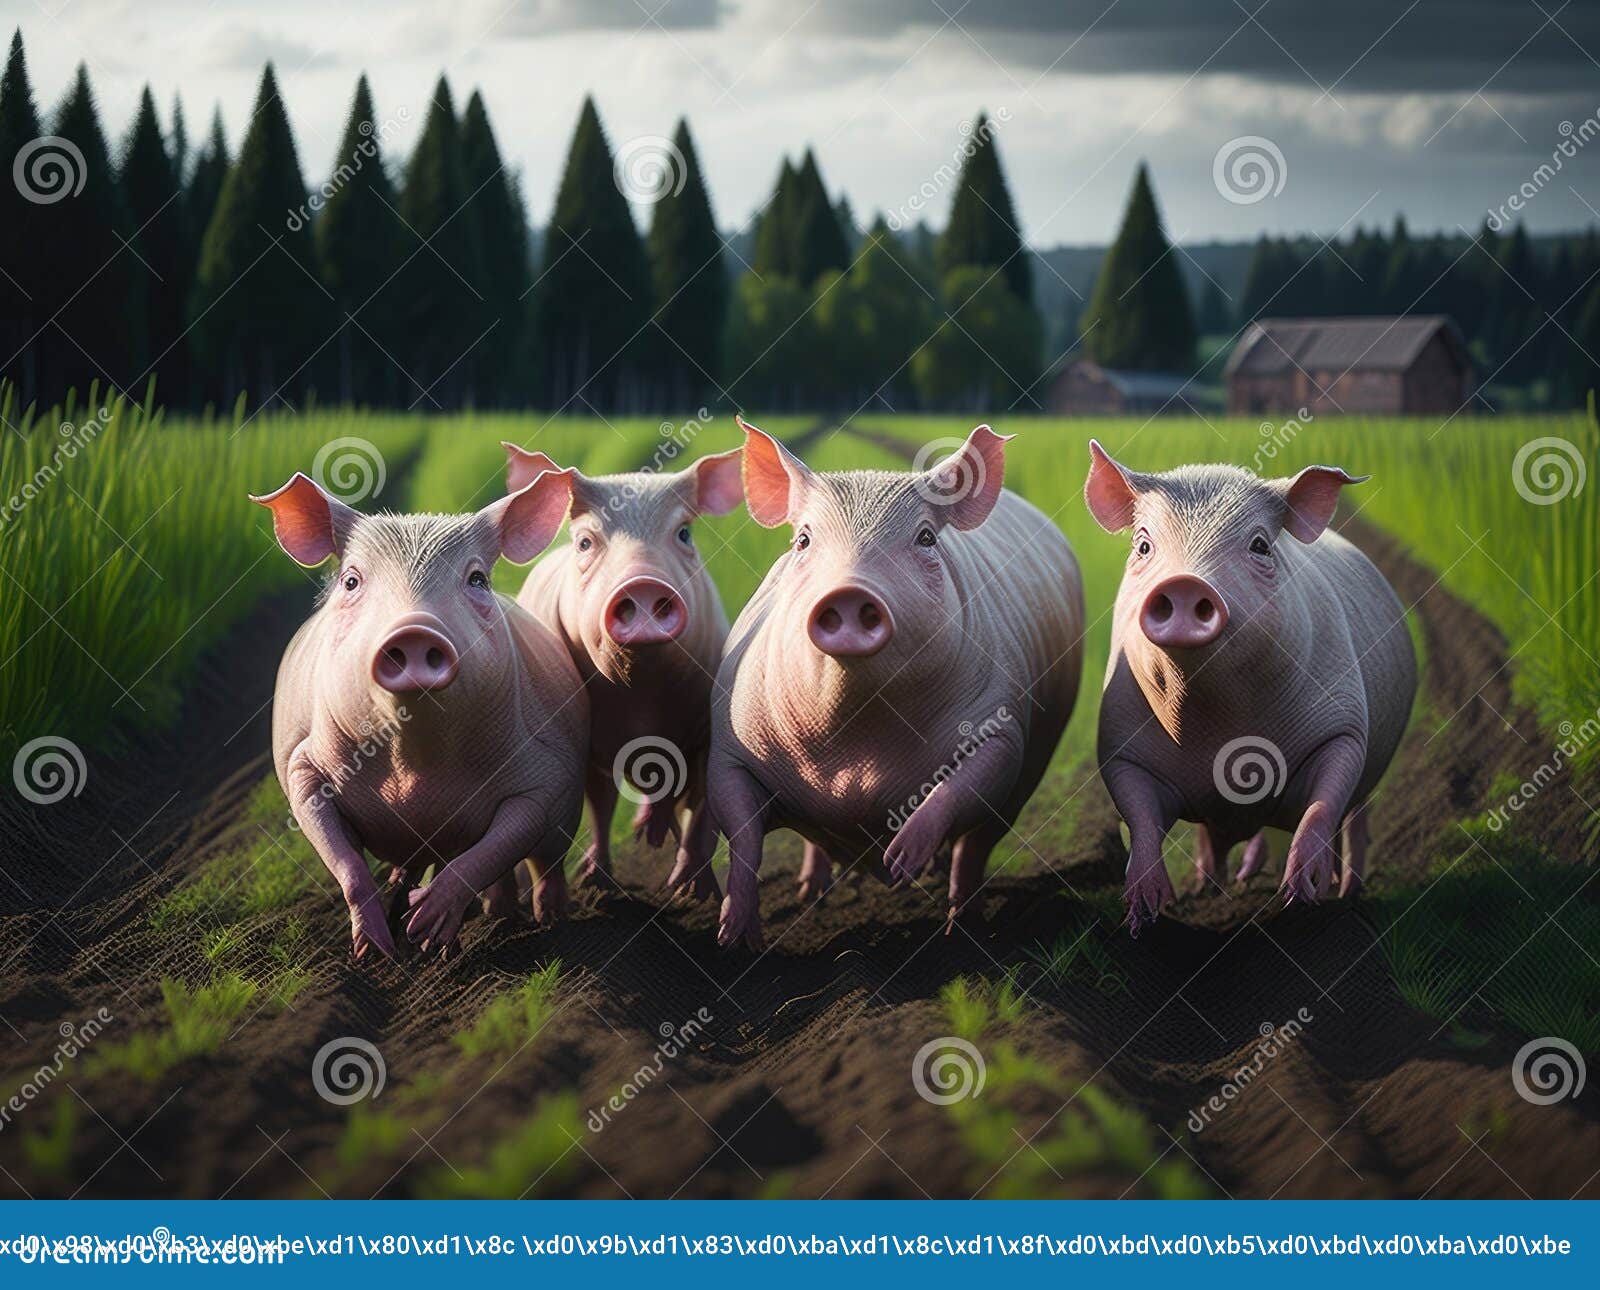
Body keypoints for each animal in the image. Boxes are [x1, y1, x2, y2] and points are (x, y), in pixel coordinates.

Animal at [252, 469, 588, 960]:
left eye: (477, 579)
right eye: (350, 581)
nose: (413, 630)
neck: (413, 765)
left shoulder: (548, 776)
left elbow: (491, 851)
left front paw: (426, 932)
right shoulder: (302, 766)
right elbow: (345, 863)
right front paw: (375, 951)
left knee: (543, 867)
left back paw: (539, 918)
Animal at [503, 441, 743, 899]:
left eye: (684, 533)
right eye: (584, 542)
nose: (643, 583)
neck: (640, 699)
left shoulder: (707, 725)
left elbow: (702, 806)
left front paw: (689, 890)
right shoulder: (587, 742)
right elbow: (598, 803)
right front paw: (596, 887)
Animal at [708, 418, 1085, 950]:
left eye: (925, 537)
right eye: (802, 540)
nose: (848, 592)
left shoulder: (1002, 727)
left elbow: (962, 787)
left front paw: (901, 861)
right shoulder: (729, 744)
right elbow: (742, 837)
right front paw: (734, 941)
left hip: (1031, 768)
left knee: (976, 847)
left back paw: (957, 923)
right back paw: (811, 894)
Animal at [1083, 442, 1417, 934]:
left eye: (1260, 545)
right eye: (1143, 545)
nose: (1184, 583)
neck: (1214, 717)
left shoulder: (1345, 725)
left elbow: (1322, 806)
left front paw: (1301, 894)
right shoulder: (1119, 746)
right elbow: (1140, 820)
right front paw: (1146, 914)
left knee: (1354, 816)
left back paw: (1346, 891)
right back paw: (1213, 885)